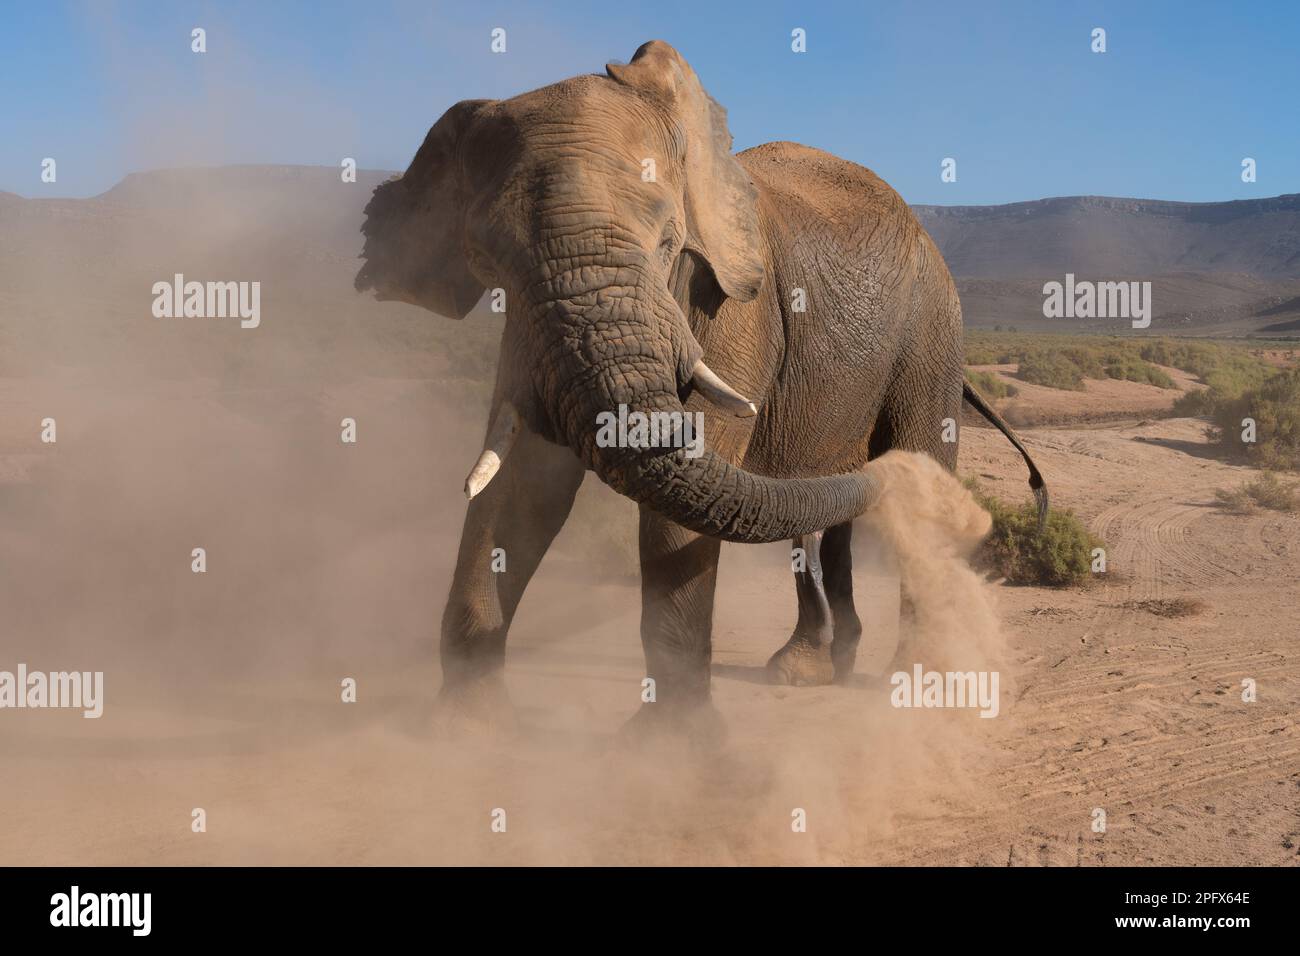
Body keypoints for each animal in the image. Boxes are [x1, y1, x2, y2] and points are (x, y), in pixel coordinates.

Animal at [355, 40, 1045, 739]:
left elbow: (677, 503)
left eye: (668, 240)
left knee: (915, 461)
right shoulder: (524, 334)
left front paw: (668, 748)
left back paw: (912, 687)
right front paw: (468, 730)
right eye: (486, 263)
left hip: (932, 326)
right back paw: (812, 668)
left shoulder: (733, 307)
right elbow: (519, 487)